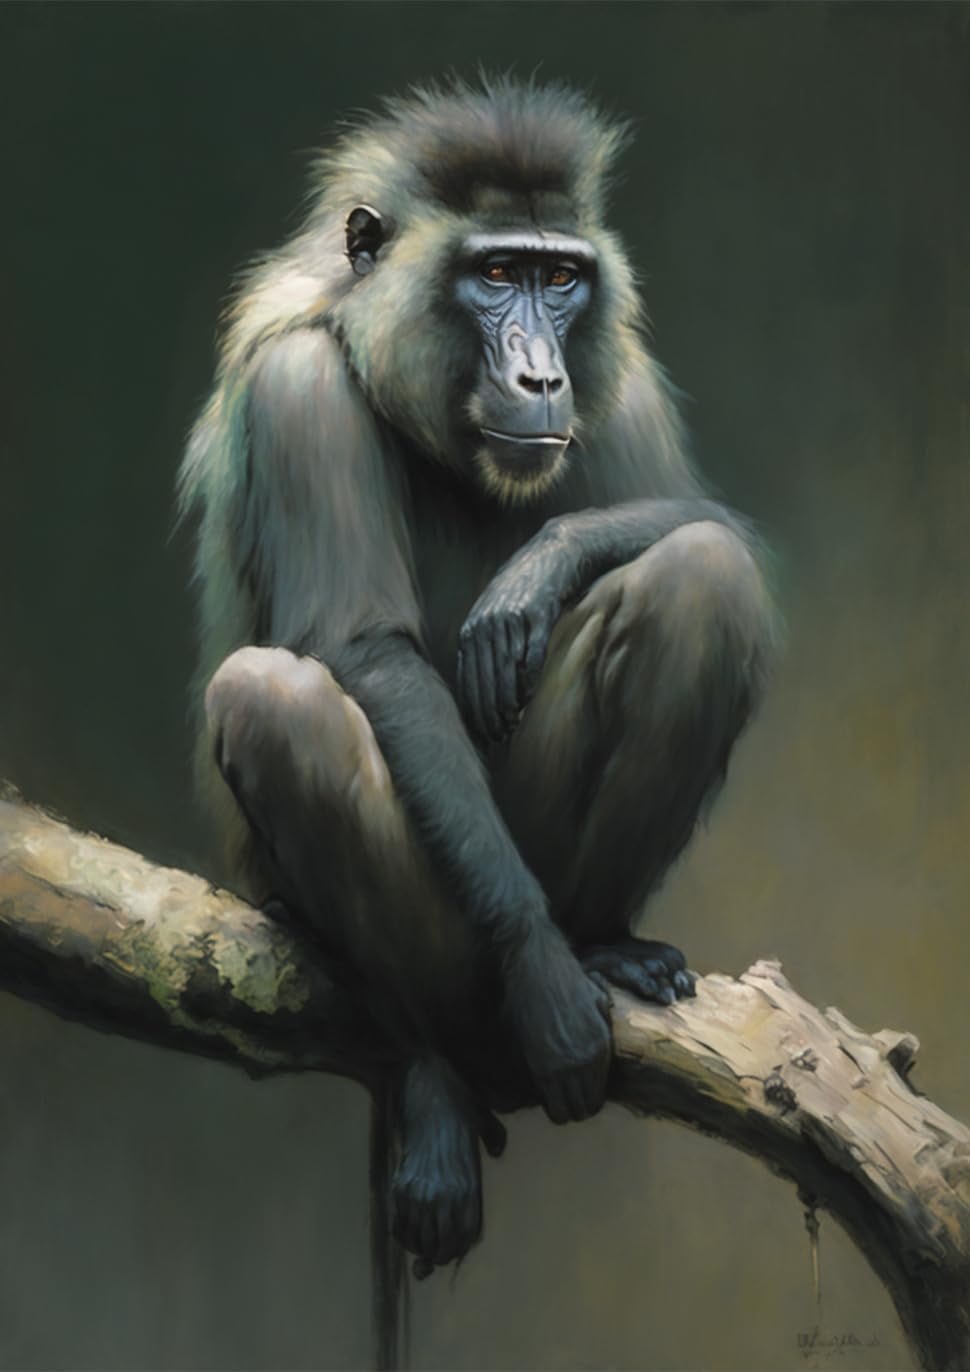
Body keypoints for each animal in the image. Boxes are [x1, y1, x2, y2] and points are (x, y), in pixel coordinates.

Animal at [178, 76, 776, 1364]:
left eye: (561, 278)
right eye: (494, 273)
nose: (541, 371)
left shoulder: (620, 370)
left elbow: (715, 527)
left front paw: (543, 565)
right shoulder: (299, 388)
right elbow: (364, 650)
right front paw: (540, 974)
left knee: (700, 577)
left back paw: (600, 941)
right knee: (277, 700)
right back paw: (442, 1069)